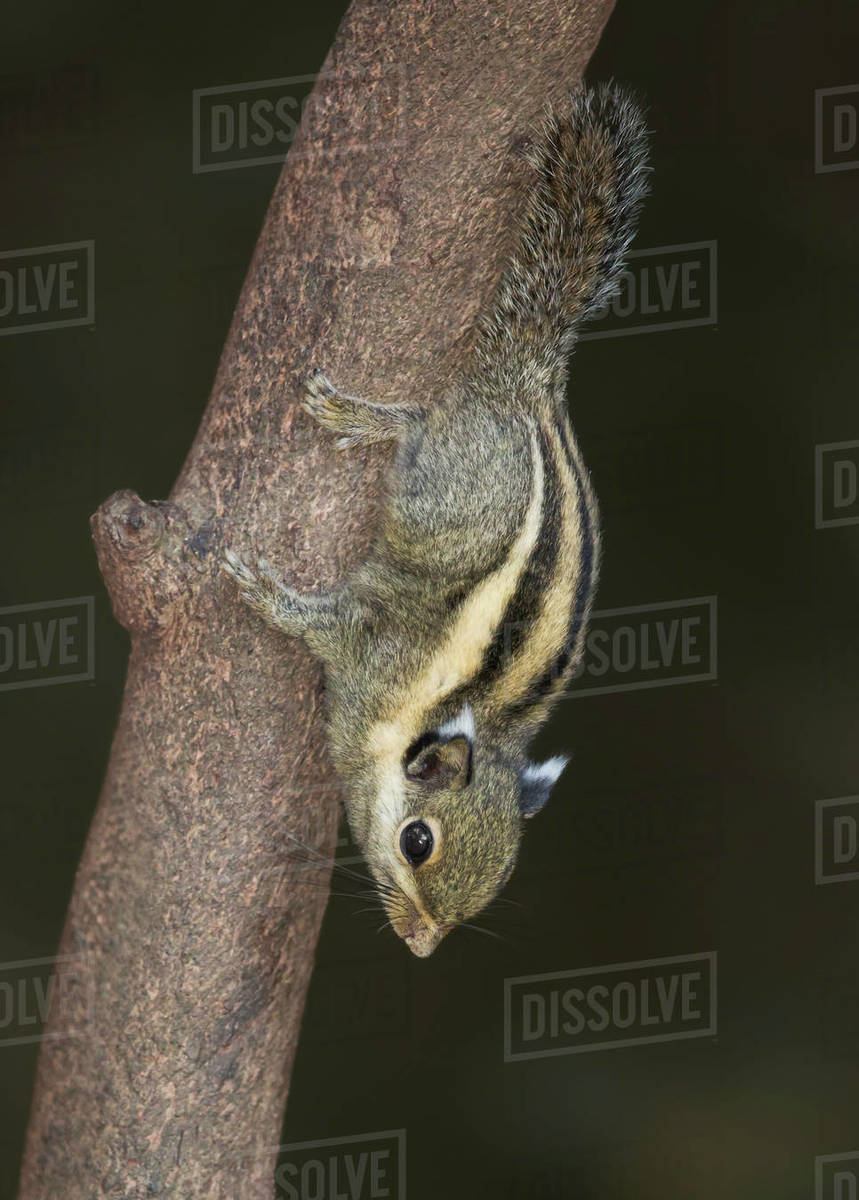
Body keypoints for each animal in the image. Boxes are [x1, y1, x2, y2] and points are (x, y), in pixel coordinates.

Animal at [224, 84, 649, 957]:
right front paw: (269, 597)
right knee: (419, 424)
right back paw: (366, 418)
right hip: (444, 478)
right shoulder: (368, 650)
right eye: (416, 842)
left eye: (498, 881)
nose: (421, 947)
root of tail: (528, 386)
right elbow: (322, 624)